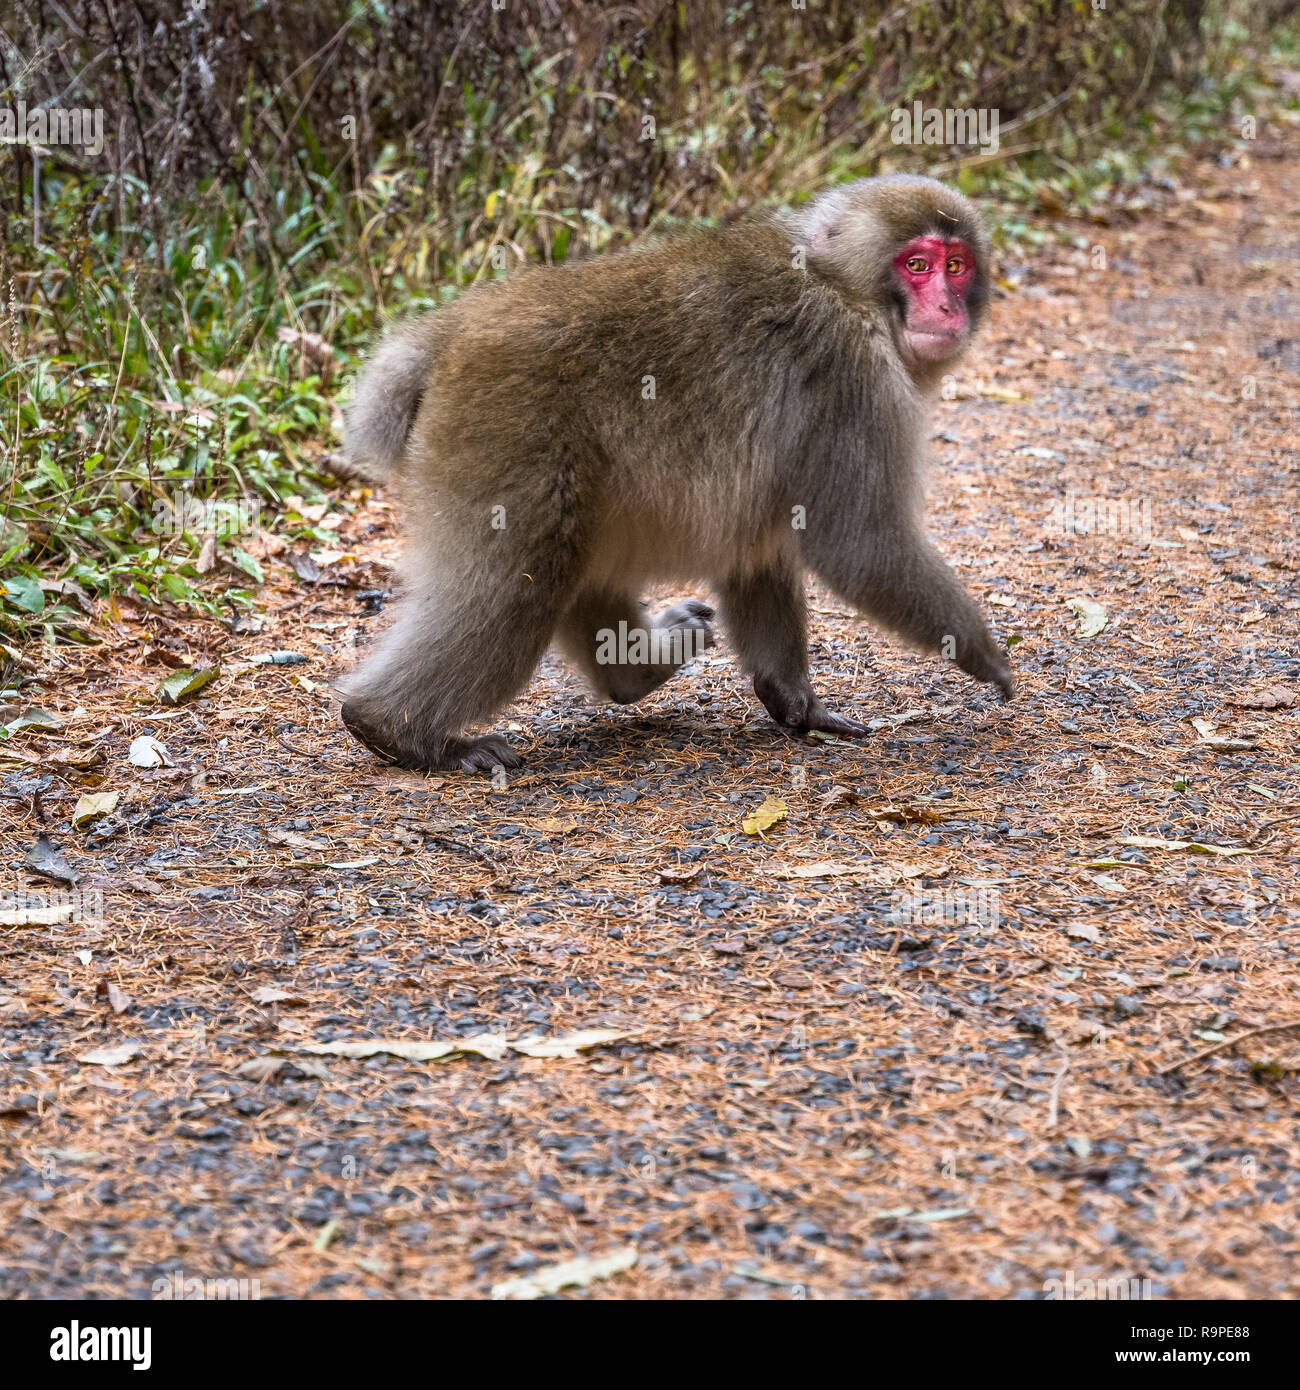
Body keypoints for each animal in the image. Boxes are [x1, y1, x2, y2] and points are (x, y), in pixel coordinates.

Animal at [338, 173, 1012, 772]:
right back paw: (395, 730)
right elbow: (858, 544)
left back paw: (634, 673)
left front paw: (797, 705)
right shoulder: (851, 378)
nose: (947, 306)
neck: (842, 287)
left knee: (573, 555)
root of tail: (448, 335)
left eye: (956, 266)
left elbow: (758, 550)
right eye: (917, 265)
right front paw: (981, 651)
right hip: (507, 432)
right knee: (521, 577)